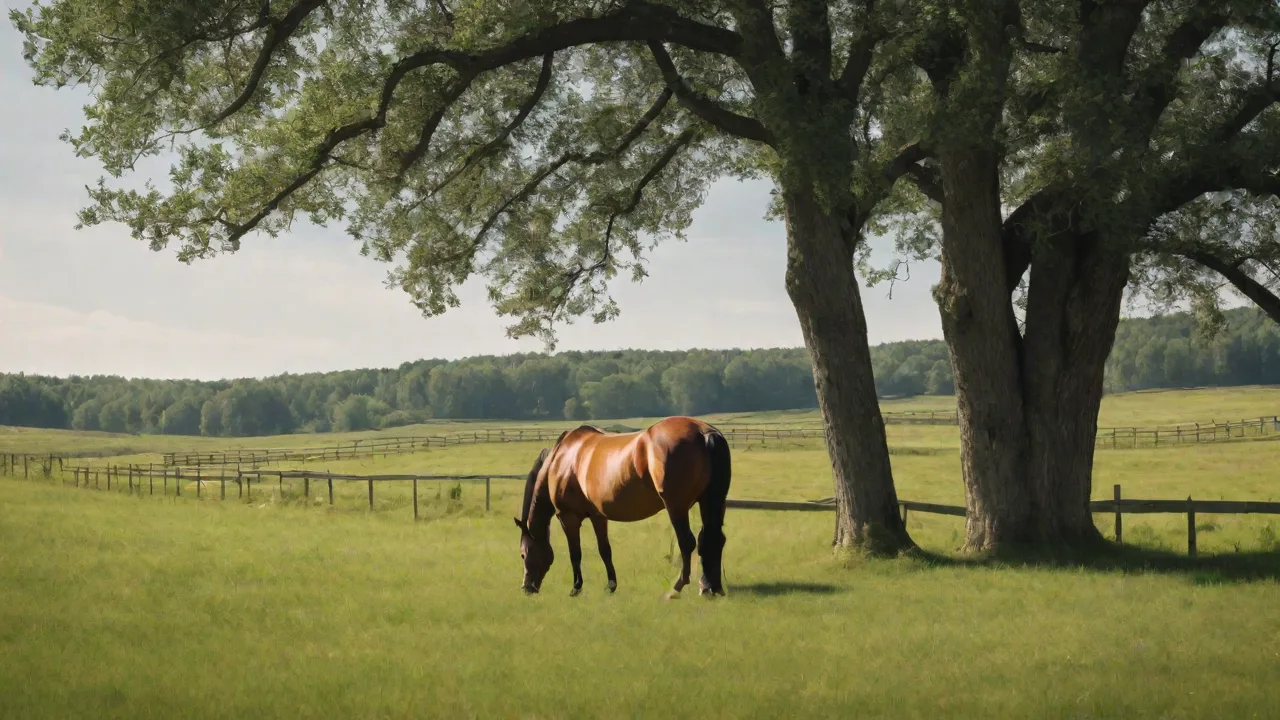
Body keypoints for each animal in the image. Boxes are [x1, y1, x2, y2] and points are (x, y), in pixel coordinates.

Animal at [513, 416, 732, 598]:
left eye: (523, 554)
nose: (527, 587)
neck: (562, 459)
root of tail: (704, 433)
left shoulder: (568, 517)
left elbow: (575, 553)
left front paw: (576, 588)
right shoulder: (598, 515)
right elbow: (605, 550)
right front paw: (611, 585)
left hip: (676, 506)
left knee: (687, 542)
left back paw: (676, 588)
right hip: (711, 501)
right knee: (712, 539)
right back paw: (711, 587)